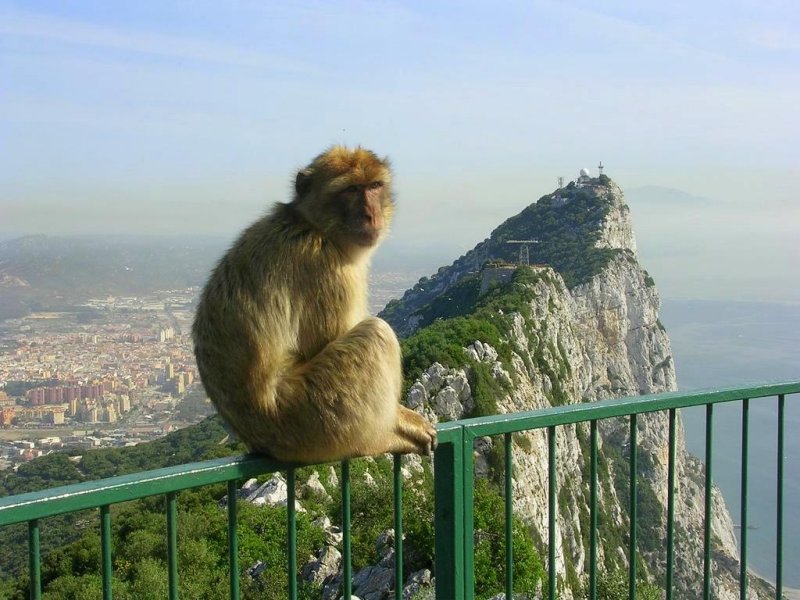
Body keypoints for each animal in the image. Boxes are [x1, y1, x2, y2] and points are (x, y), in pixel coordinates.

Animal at [192, 146, 437, 464]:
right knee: (375, 334)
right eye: (351, 190)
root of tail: (260, 440)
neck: (311, 225)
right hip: (315, 416)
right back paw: (377, 438)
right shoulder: (326, 268)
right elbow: (324, 341)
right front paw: (402, 419)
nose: (371, 215)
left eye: (374, 186)